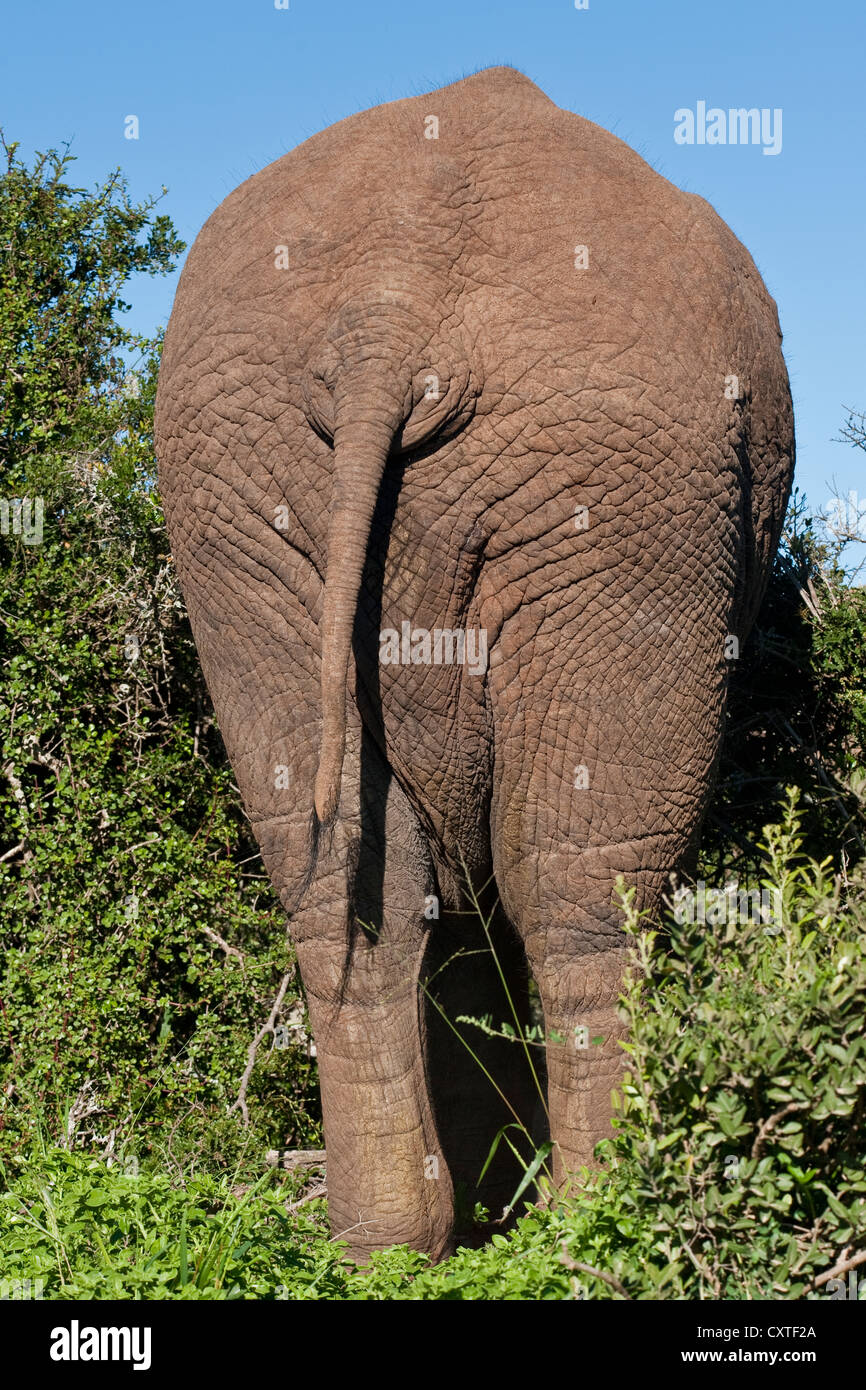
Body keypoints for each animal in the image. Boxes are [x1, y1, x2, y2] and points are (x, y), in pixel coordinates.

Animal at [155, 65, 794, 1261]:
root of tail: (391, 313)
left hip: (230, 480)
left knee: (336, 876)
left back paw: (385, 1246)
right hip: (628, 488)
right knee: (582, 884)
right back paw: (598, 1224)